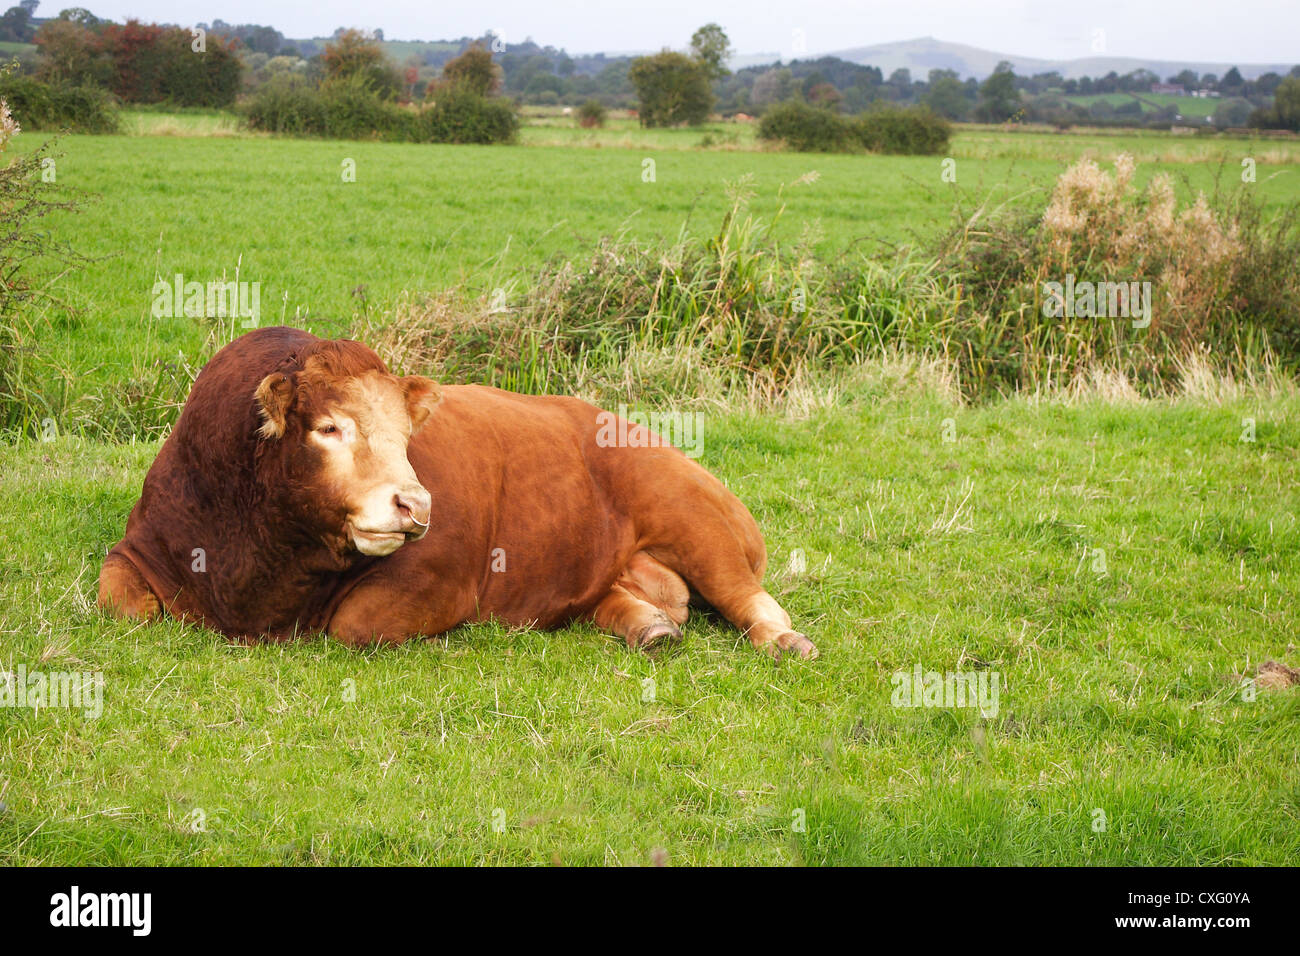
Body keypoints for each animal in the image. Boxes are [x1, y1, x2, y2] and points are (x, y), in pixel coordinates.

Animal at [98, 327, 817, 660]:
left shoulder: (439, 578)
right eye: (329, 427)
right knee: (613, 598)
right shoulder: (140, 547)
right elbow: (121, 604)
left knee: (748, 596)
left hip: (692, 519)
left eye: (406, 433)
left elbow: (353, 624)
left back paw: (783, 640)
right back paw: (649, 626)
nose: (415, 504)